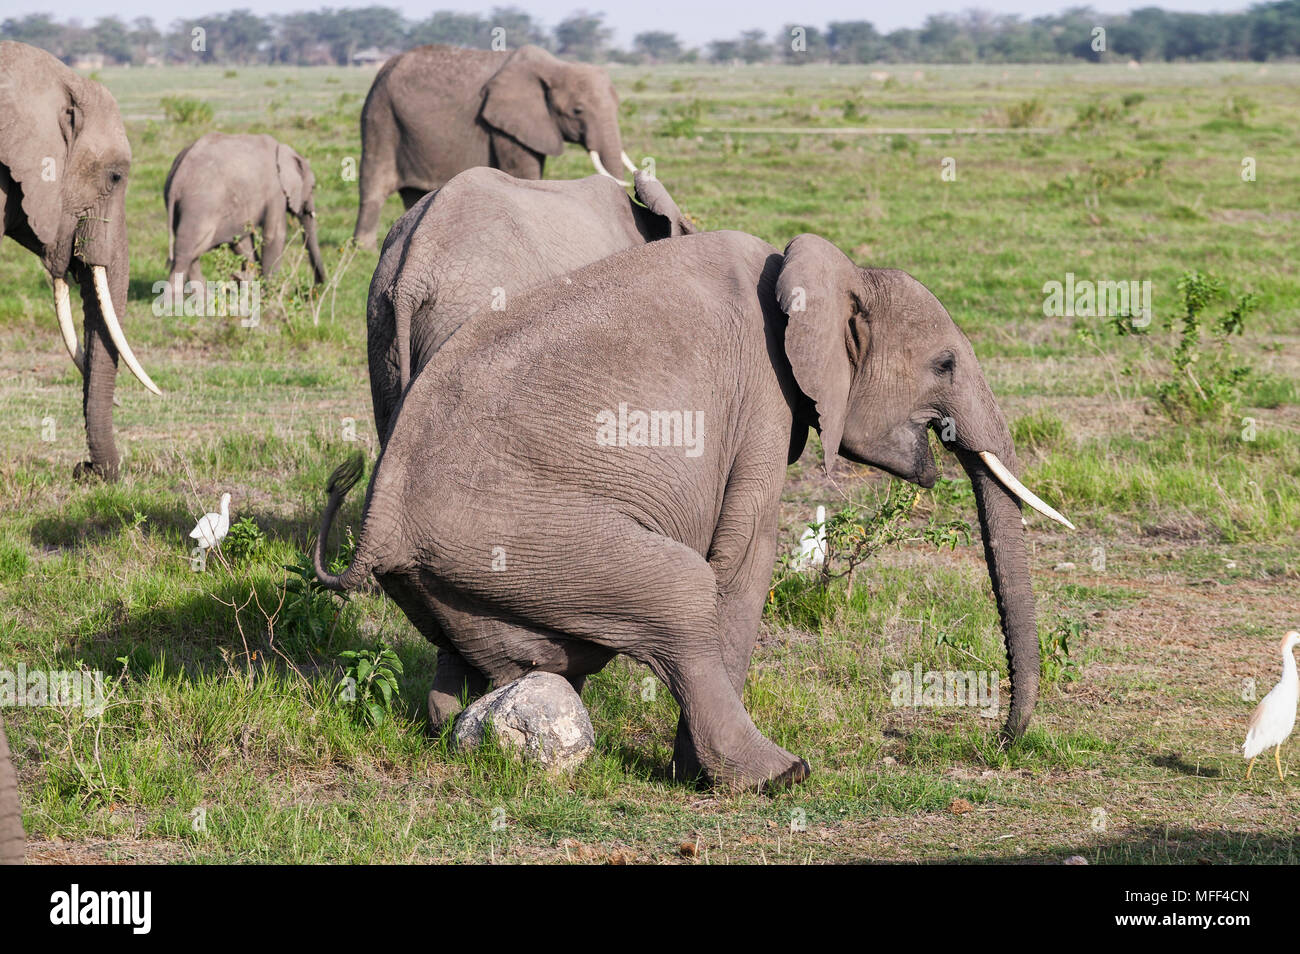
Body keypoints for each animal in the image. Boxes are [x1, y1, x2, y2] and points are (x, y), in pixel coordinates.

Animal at [164, 132, 327, 296]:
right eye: (313, 187)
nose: (309, 292)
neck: (283, 150)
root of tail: (177, 177)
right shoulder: (275, 192)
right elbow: (274, 236)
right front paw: (267, 294)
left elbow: (243, 243)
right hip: (200, 207)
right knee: (186, 254)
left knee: (190, 254)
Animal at [311, 228, 1073, 791]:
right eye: (944, 364)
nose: (1001, 742)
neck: (827, 274)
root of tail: (376, 527)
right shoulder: (762, 396)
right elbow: (741, 562)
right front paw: (698, 776)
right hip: (510, 535)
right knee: (680, 589)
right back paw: (776, 775)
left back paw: (455, 723)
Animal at [353, 44, 637, 250]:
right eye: (577, 111)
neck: (555, 66)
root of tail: (385, 67)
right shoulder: (504, 127)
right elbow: (524, 173)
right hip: (380, 116)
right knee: (374, 184)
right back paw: (364, 250)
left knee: (414, 193)